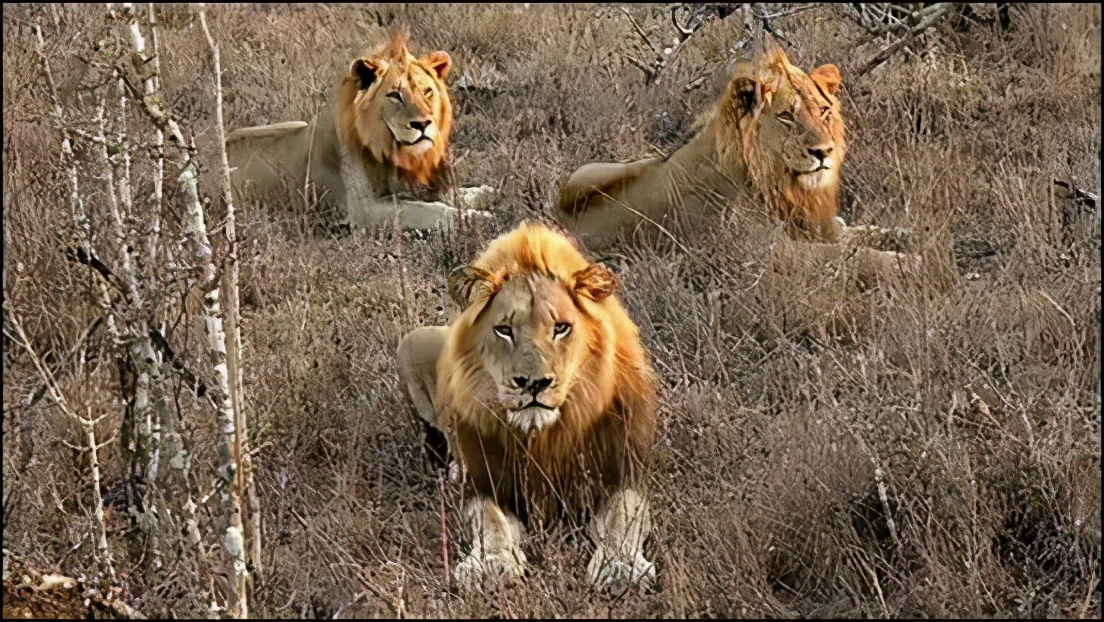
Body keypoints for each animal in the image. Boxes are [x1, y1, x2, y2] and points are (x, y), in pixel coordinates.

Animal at [226, 33, 493, 230]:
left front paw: (486, 193)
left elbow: (448, 194)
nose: (423, 124)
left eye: (427, 91)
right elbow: (421, 209)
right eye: (395, 95)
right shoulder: (361, 209)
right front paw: (475, 217)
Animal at [397, 222, 659, 592]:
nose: (533, 384)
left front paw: (618, 568)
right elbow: (491, 522)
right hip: (411, 343)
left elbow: (624, 519)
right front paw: (491, 565)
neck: (543, 435)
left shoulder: (623, 473)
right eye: (504, 330)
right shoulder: (485, 484)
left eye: (561, 328)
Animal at [558, 47, 909, 254]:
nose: (824, 152)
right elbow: (861, 258)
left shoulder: (819, 227)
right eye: (786, 116)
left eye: (823, 111)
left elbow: (860, 232)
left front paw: (905, 234)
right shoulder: (775, 251)